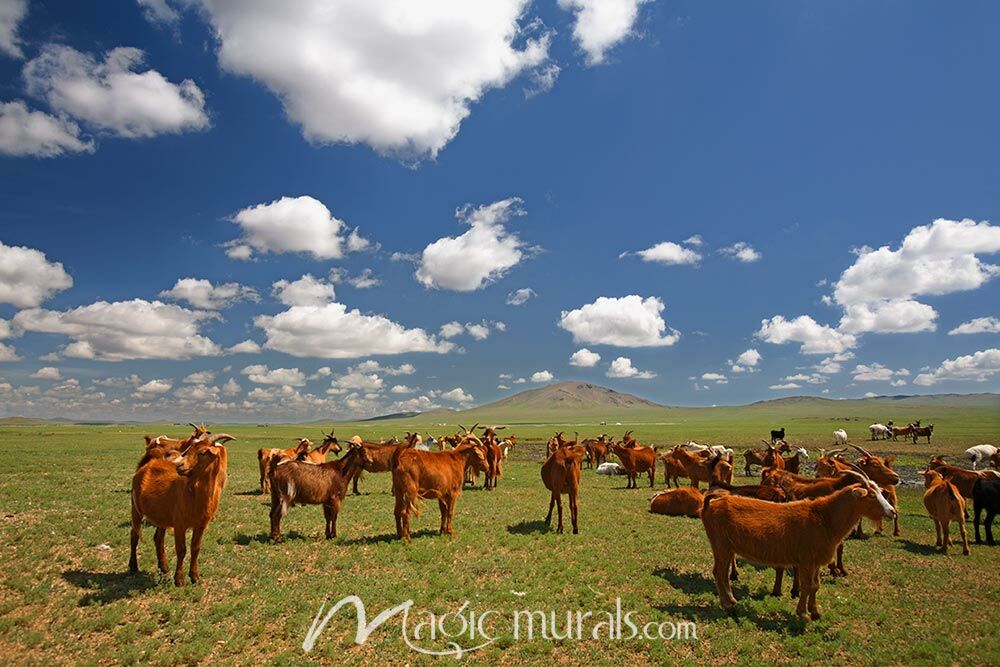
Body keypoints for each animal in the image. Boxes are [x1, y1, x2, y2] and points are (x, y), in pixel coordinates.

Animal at [129, 438, 230, 586]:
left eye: (203, 452)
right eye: (190, 449)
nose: (180, 466)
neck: (196, 495)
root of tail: (147, 464)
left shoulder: (201, 525)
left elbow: (195, 548)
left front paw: (195, 577)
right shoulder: (179, 524)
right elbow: (181, 550)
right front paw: (179, 580)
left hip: (162, 516)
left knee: (158, 538)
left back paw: (164, 567)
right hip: (135, 509)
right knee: (134, 535)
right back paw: (133, 567)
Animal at [701, 467, 895, 621]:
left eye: (880, 491)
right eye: (871, 495)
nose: (892, 512)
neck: (824, 517)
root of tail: (712, 502)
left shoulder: (815, 562)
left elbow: (815, 585)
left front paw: (815, 612)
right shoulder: (806, 561)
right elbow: (807, 586)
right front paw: (803, 614)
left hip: (726, 547)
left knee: (723, 573)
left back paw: (732, 600)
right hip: (720, 545)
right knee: (718, 572)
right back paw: (727, 605)